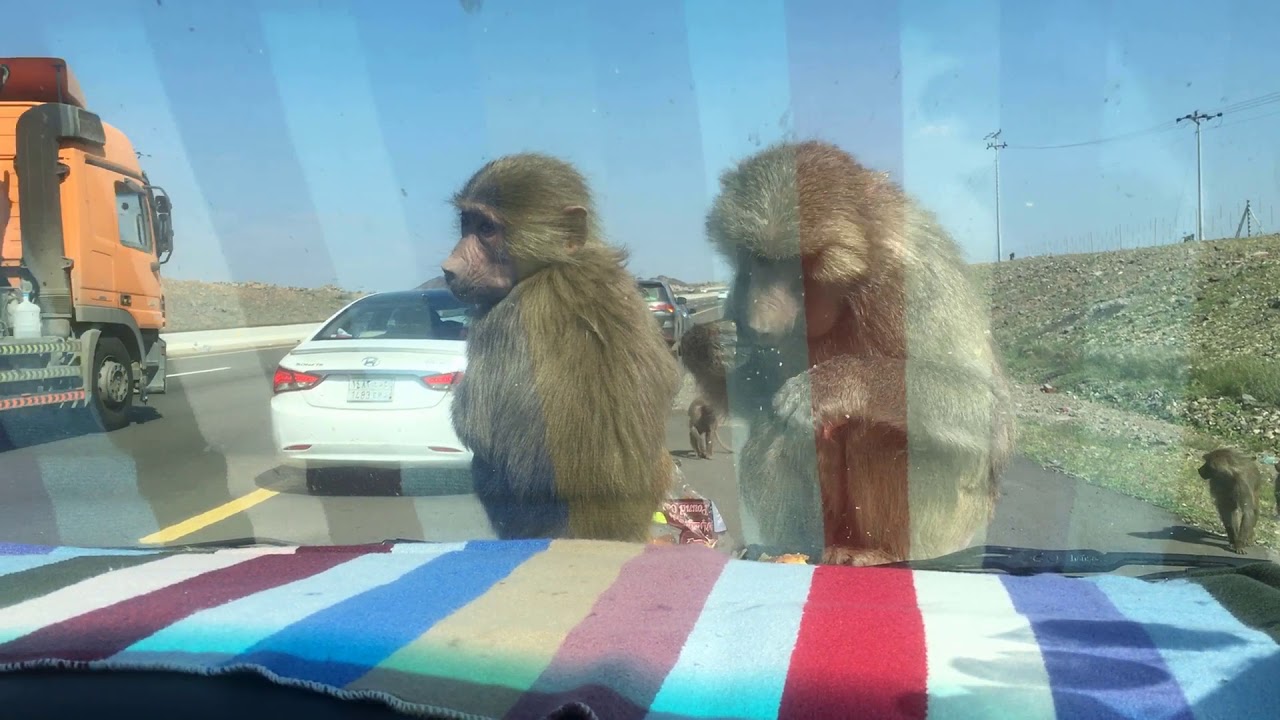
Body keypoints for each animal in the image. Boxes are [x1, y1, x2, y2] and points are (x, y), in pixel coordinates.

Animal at [441, 153, 681, 543]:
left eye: (487, 228)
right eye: (467, 223)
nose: (448, 268)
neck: (560, 264)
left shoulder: (500, 319)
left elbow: (476, 431)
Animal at [679, 140, 1017, 566]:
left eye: (796, 265)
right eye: (758, 260)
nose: (760, 321)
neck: (855, 278)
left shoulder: (917, 279)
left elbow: (992, 414)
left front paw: (837, 383)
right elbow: (756, 397)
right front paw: (707, 348)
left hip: (952, 526)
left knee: (877, 430)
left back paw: (881, 554)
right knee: (783, 430)